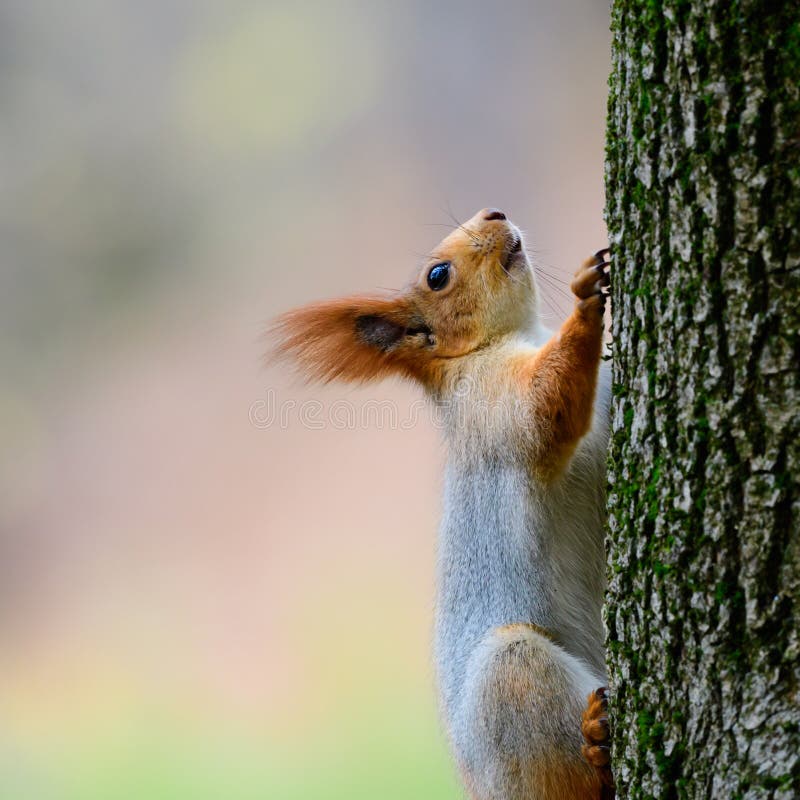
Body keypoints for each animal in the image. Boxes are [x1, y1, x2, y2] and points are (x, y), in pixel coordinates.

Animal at [272, 208, 614, 799]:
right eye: (437, 276)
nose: (494, 212)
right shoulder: (491, 408)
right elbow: (545, 410)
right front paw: (586, 300)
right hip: (511, 681)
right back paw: (596, 748)